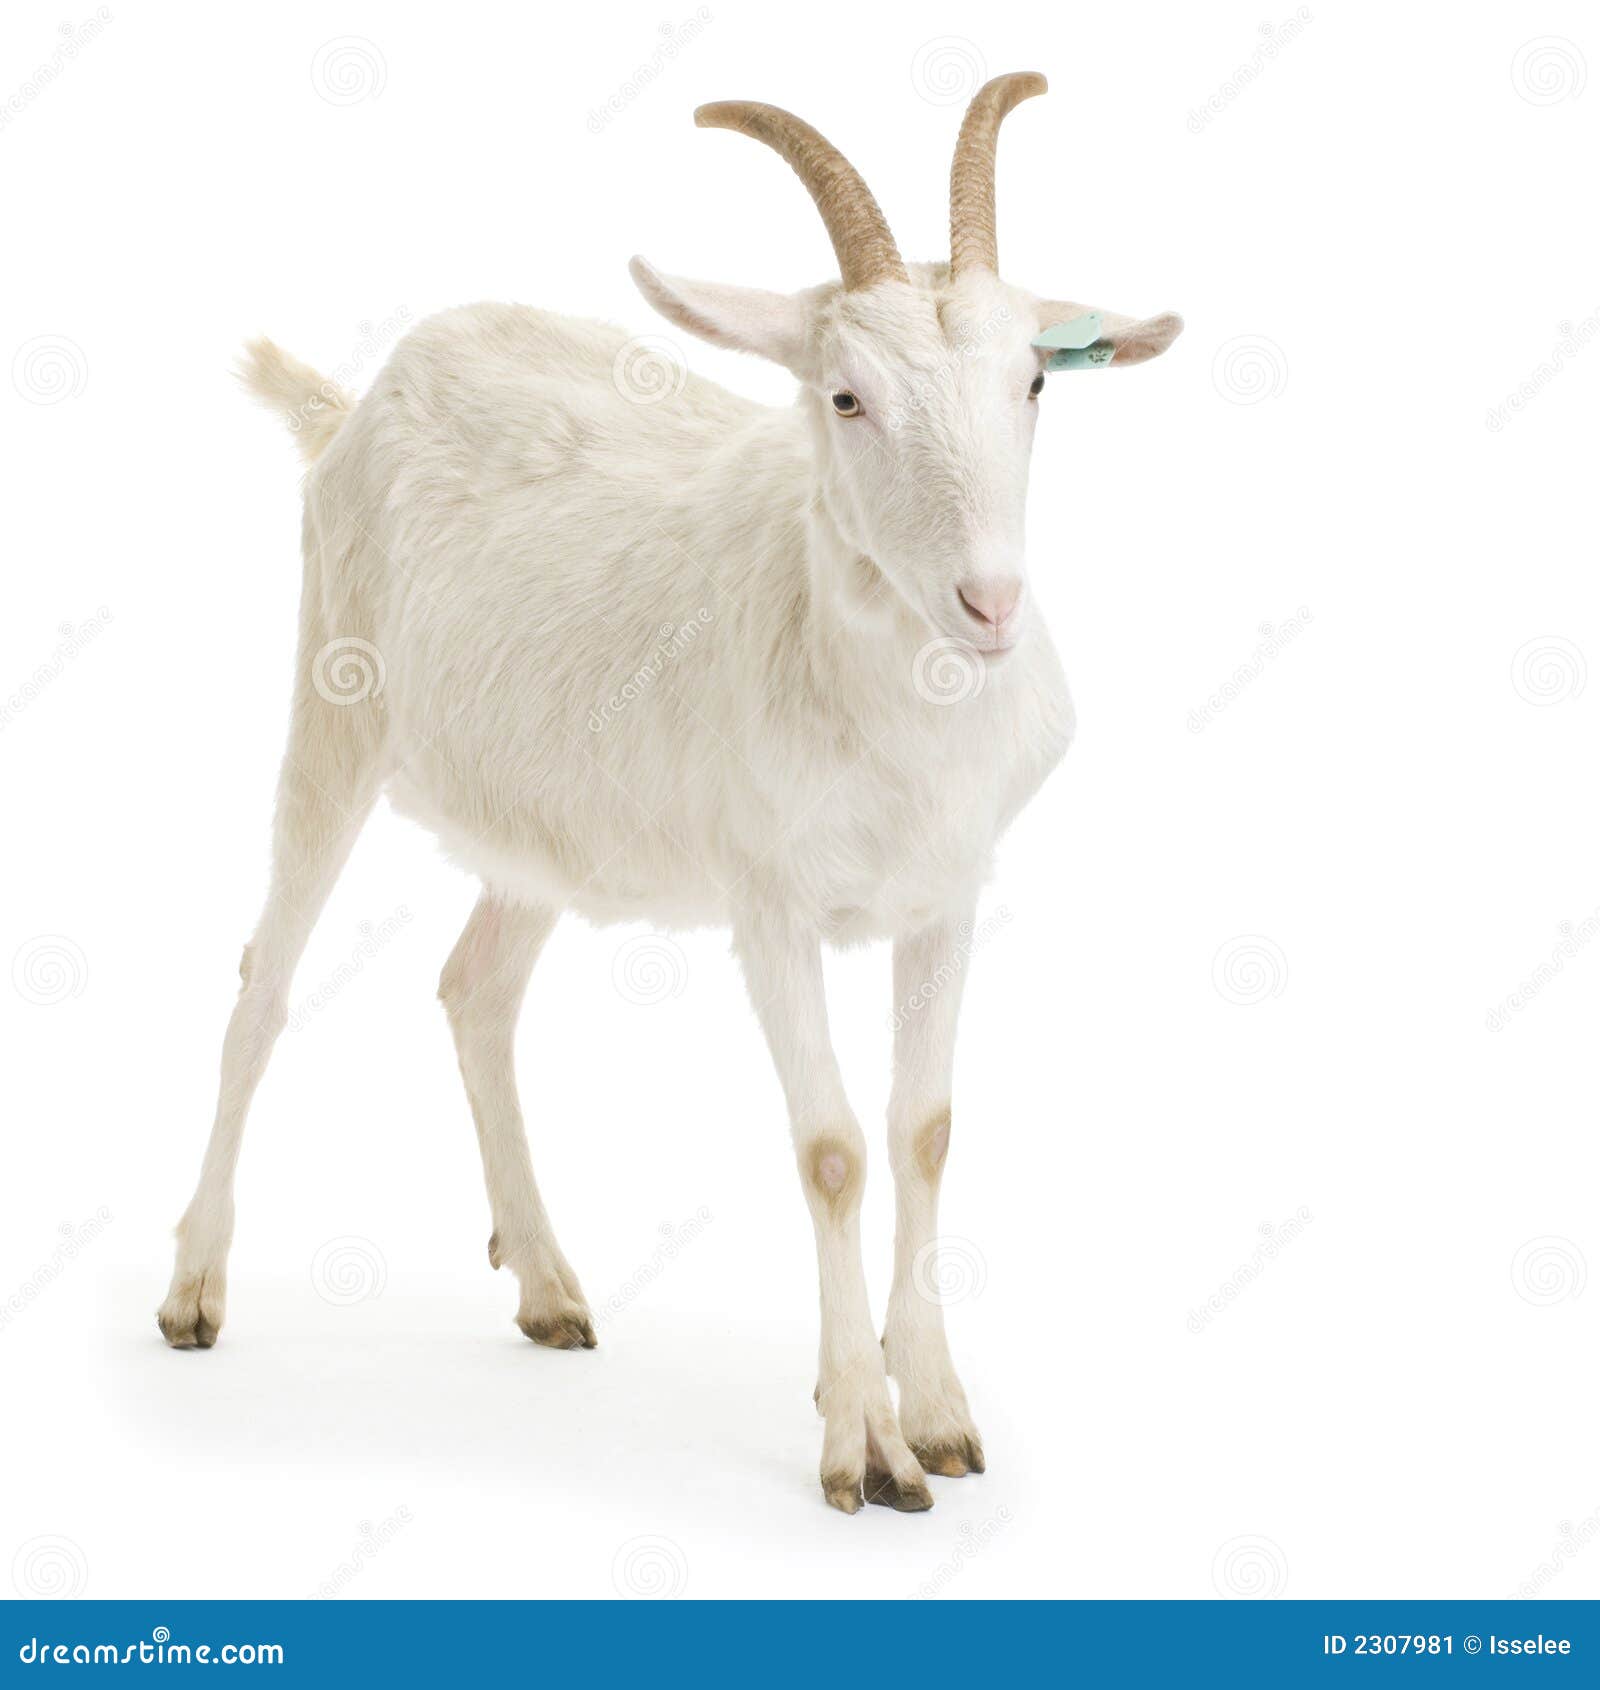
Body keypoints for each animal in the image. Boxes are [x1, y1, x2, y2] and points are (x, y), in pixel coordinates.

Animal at [157, 73, 1181, 1513]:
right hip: (333, 703)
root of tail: (361, 398)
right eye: (845, 395)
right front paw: (861, 1443)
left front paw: (933, 1409)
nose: (989, 601)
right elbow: (832, 1150)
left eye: (1033, 378)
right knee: (264, 977)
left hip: (542, 819)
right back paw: (194, 1287)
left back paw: (544, 1283)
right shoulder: (772, 907)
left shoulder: (946, 894)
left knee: (475, 988)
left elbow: (923, 1129)